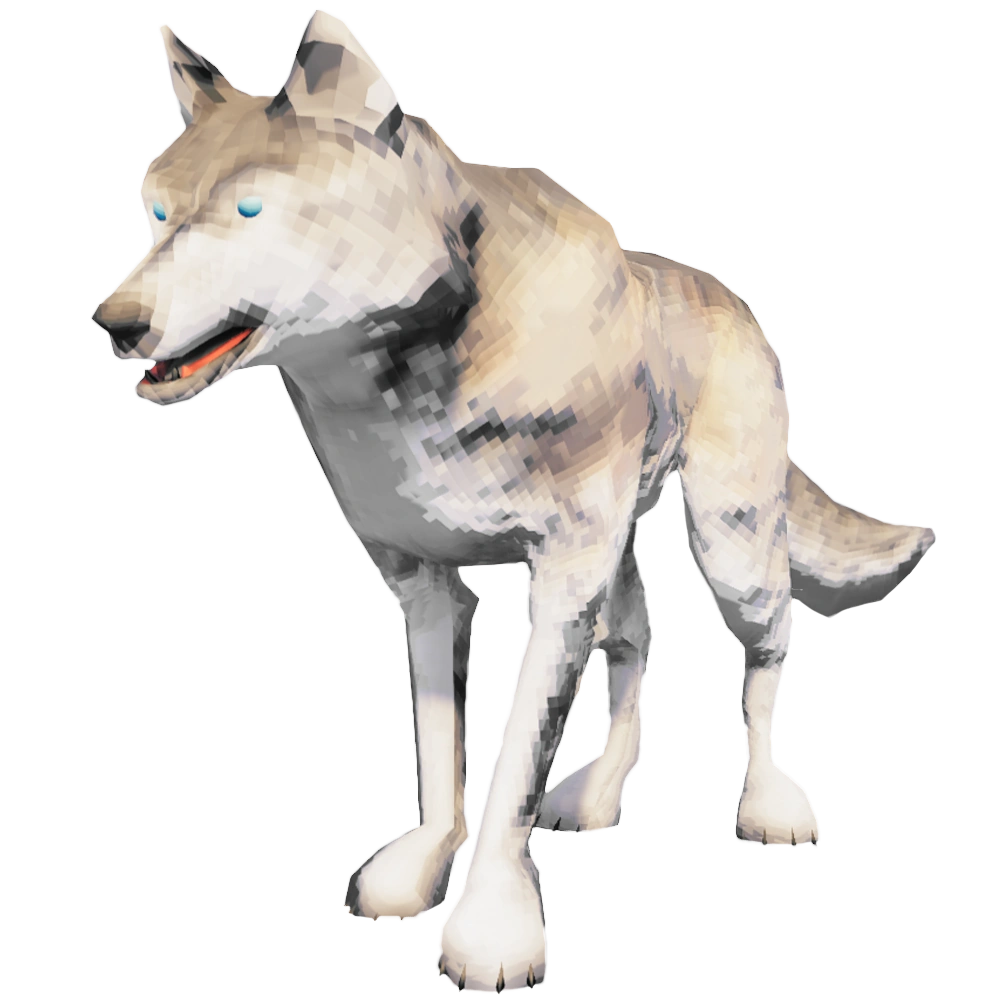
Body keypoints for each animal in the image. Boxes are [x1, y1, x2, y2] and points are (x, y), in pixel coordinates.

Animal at [90, 11, 935, 993]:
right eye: (156, 214)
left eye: (250, 212)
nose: (113, 322)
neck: (408, 382)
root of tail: (718, 287)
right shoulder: (420, 583)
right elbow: (439, 746)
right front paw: (423, 864)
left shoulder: (559, 577)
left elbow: (518, 767)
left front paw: (491, 927)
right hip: (627, 552)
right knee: (637, 639)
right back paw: (602, 792)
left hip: (734, 548)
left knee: (768, 654)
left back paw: (769, 804)